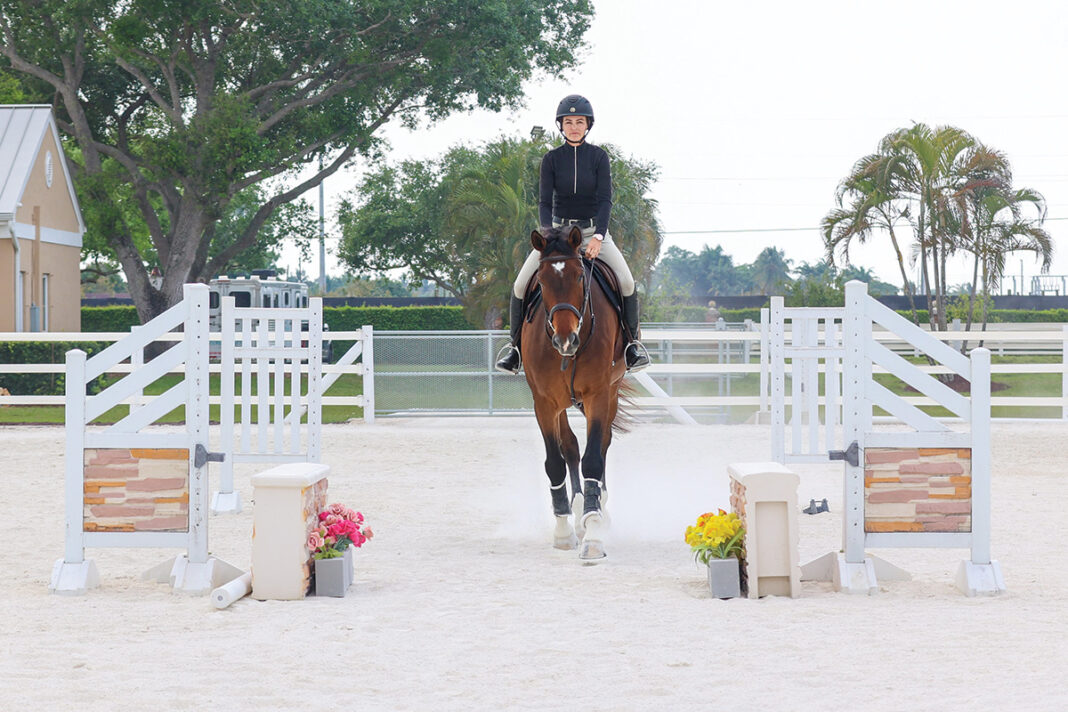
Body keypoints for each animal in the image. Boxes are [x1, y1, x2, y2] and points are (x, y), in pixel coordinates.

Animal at [520, 225, 629, 561]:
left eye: (580, 277)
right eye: (541, 281)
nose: (565, 340)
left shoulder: (598, 394)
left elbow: (593, 457)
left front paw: (593, 534)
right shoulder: (543, 402)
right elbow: (555, 461)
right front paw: (563, 531)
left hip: (612, 391)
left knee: (603, 443)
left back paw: (598, 508)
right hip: (560, 403)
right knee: (569, 446)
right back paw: (579, 506)